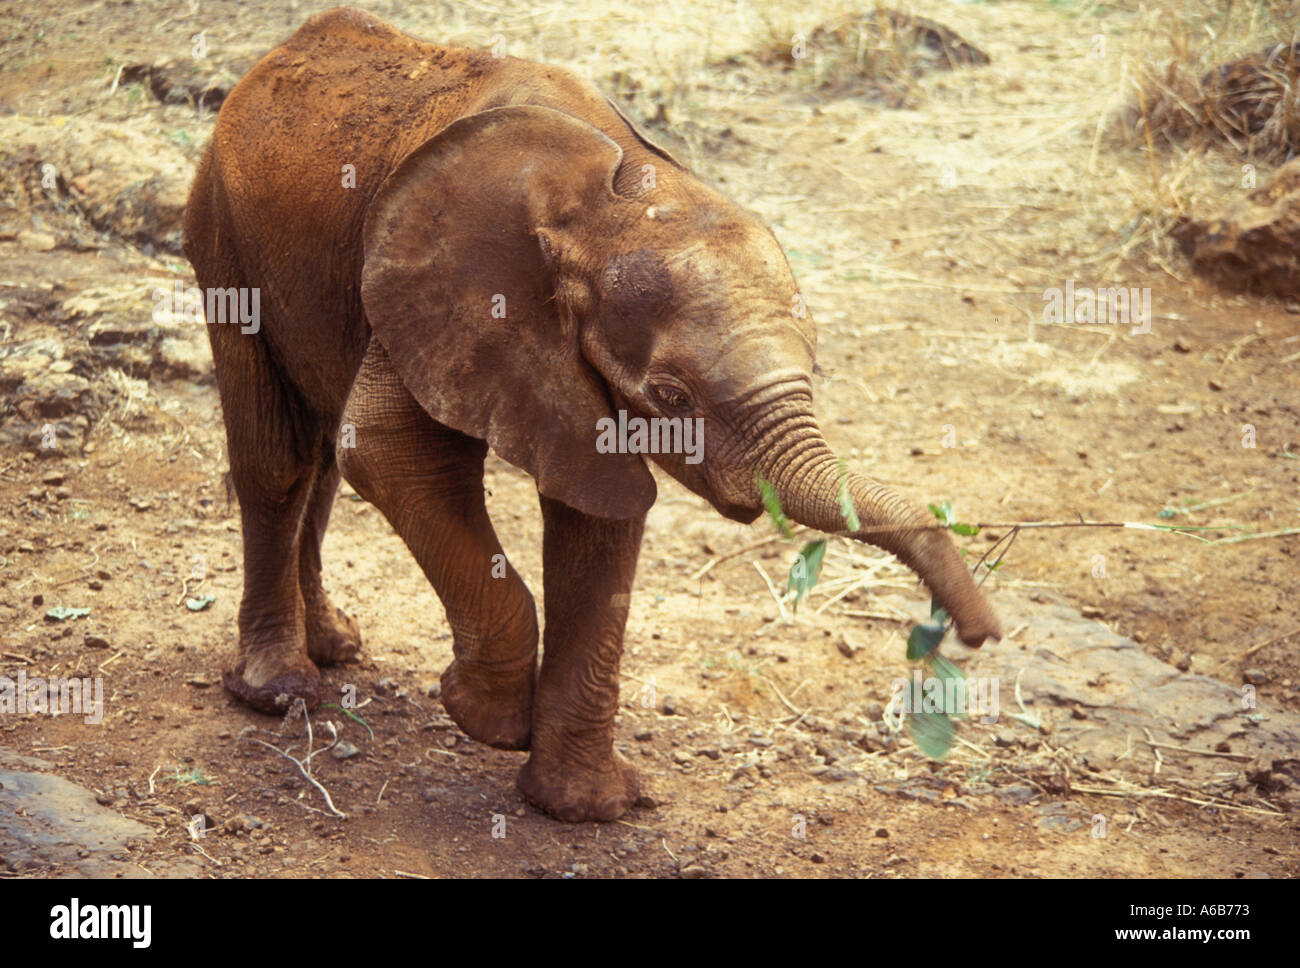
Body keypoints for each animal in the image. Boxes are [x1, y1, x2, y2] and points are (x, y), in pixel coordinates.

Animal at [182, 7, 1001, 822]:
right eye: (672, 396)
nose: (979, 633)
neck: (614, 203)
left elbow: (602, 507)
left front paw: (584, 807)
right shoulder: (437, 288)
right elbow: (390, 452)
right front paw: (487, 719)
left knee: (318, 452)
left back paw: (337, 648)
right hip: (222, 233)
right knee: (280, 458)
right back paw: (280, 690)